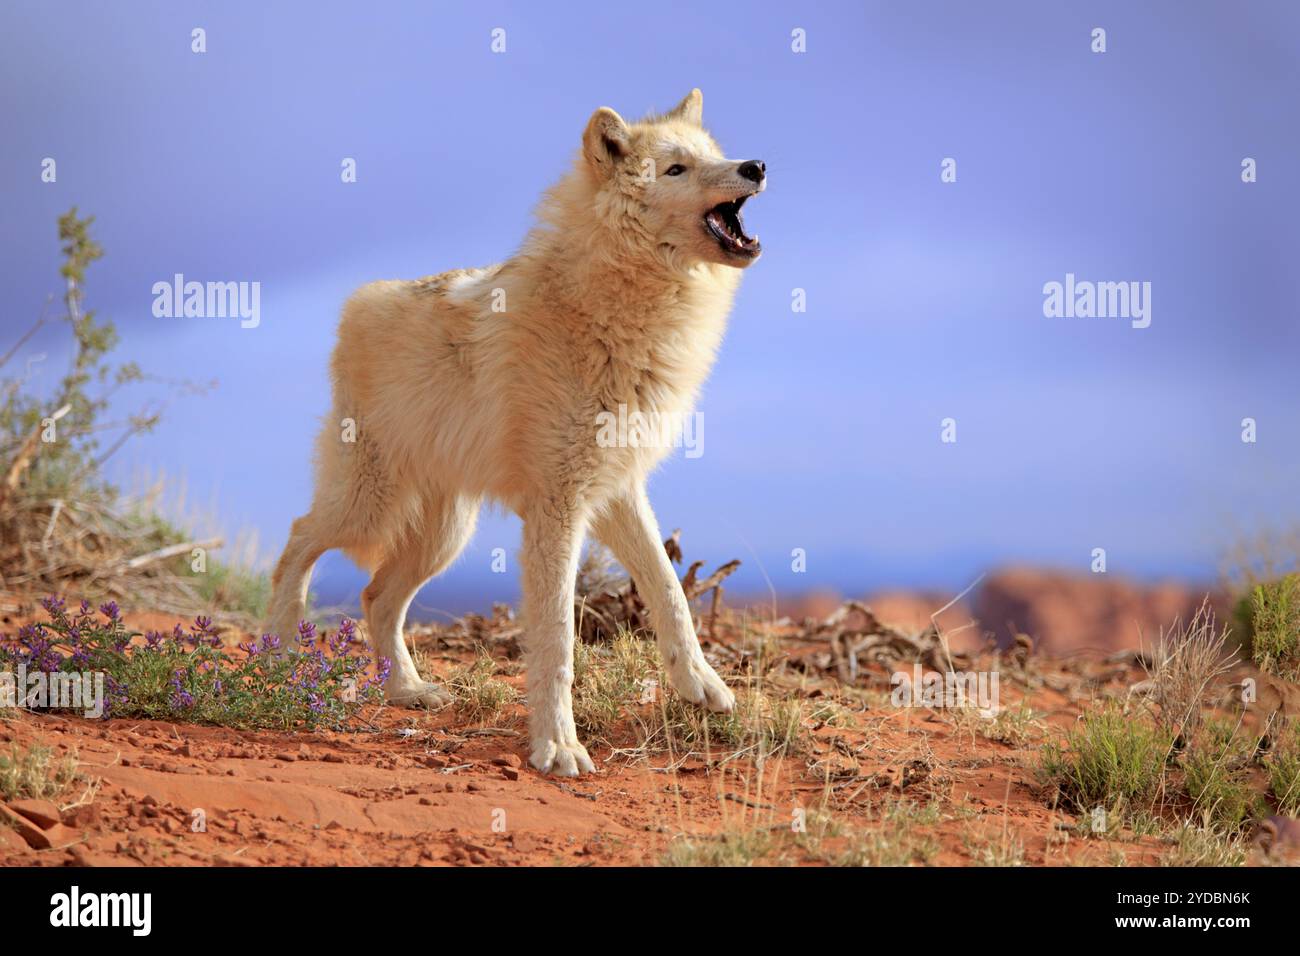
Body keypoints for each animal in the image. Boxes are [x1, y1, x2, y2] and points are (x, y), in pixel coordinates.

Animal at [266, 89, 765, 775]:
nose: (757, 165)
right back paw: (279, 655)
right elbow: (556, 638)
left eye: (717, 155)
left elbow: (670, 593)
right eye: (676, 169)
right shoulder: (558, 507)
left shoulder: (617, 490)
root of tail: (358, 301)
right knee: (296, 541)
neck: (609, 314)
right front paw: (558, 746)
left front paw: (702, 686)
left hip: (444, 537)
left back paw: (407, 690)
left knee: (374, 596)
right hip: (367, 508)